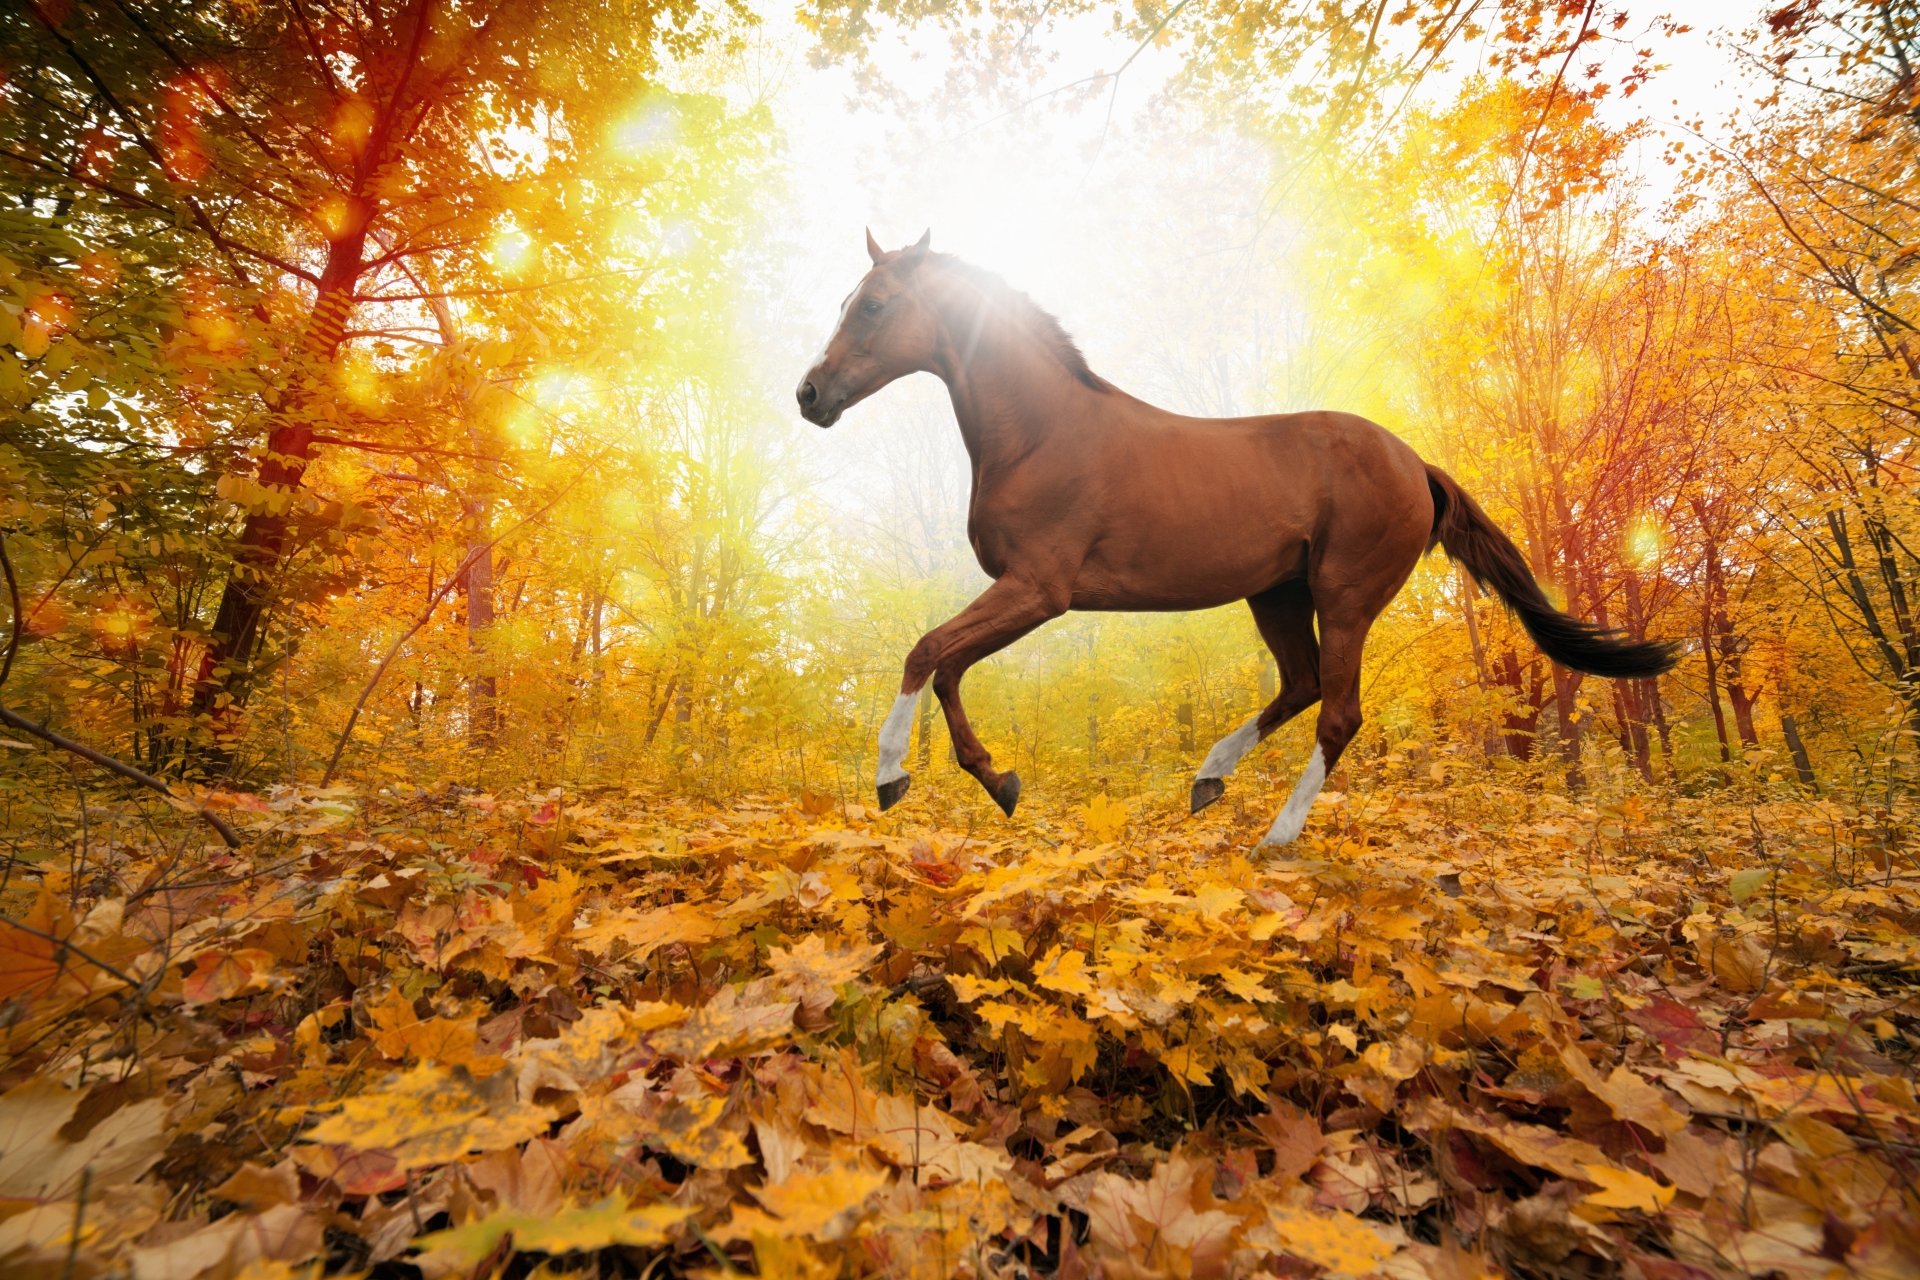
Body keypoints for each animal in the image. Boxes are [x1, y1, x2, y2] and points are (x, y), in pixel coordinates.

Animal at [797, 230, 1677, 847]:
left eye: (873, 304)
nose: (809, 394)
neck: (1042, 433)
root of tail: (1416, 465)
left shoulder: (1039, 590)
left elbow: (925, 651)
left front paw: (890, 776)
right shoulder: (1025, 595)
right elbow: (948, 666)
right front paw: (997, 781)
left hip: (1344, 597)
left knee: (1338, 713)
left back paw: (1274, 838)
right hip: (1276, 594)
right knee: (1301, 685)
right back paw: (1208, 780)